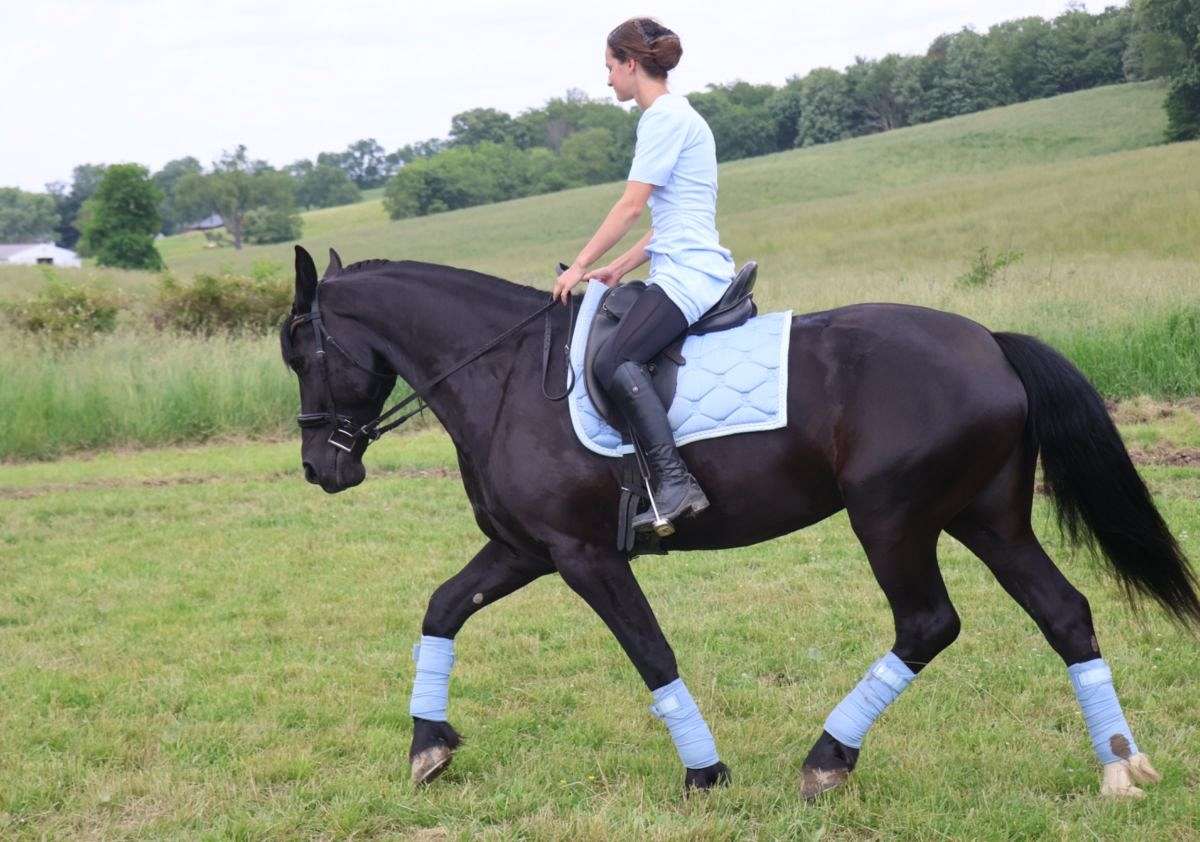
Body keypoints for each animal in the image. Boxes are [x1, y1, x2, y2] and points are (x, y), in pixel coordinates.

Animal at [280, 245, 1198, 798]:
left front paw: (705, 774)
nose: (321, 469)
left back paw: (827, 761)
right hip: (988, 518)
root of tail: (989, 343)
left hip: (892, 519)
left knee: (928, 623)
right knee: (1063, 613)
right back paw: (1121, 767)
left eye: (301, 351)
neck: (505, 376)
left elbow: (651, 651)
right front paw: (427, 745)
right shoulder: (522, 549)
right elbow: (441, 608)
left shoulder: (584, 556)